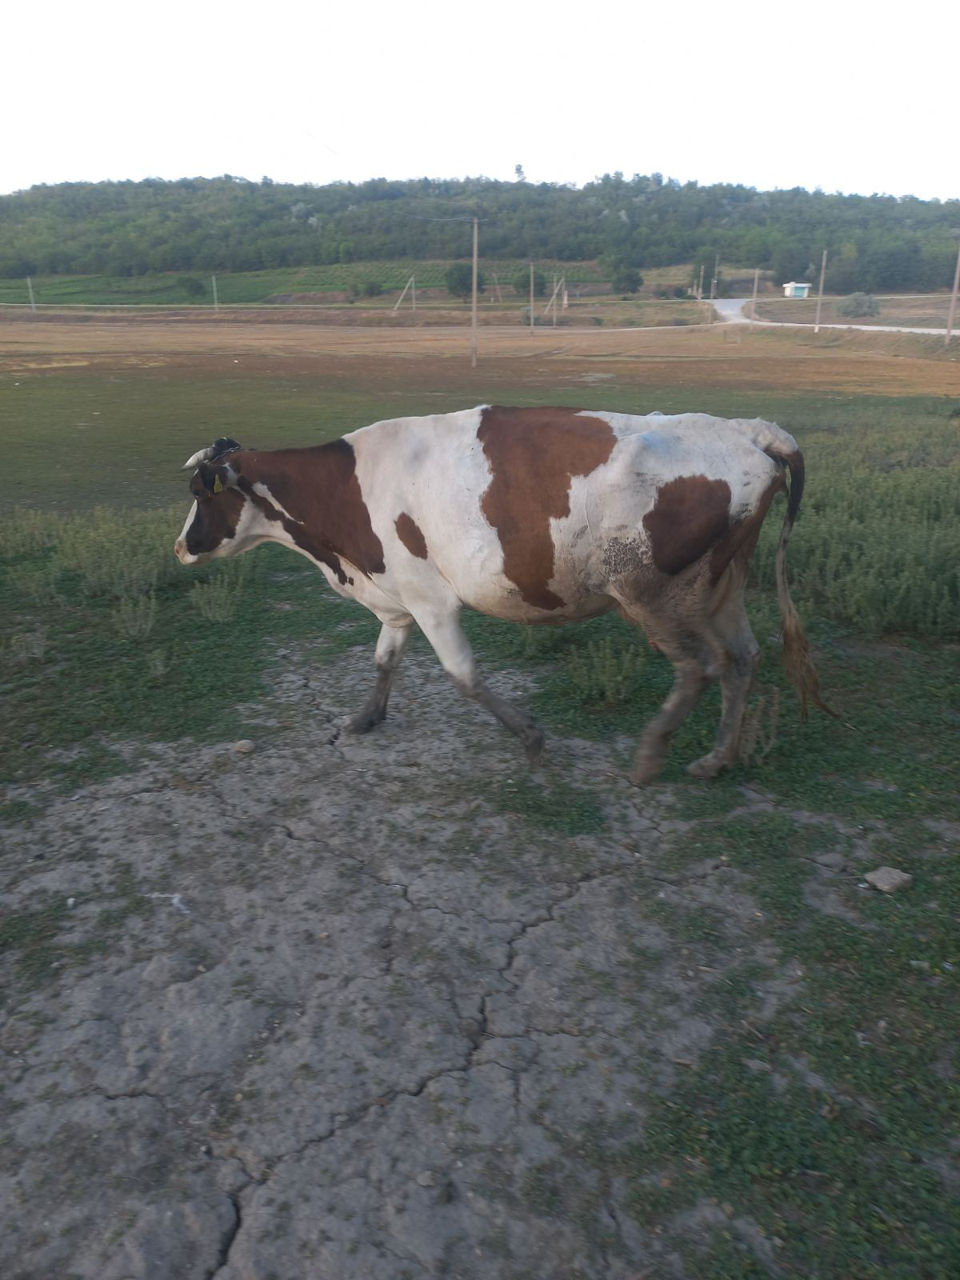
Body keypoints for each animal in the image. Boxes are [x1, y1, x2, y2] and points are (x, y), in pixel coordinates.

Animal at [174, 406, 829, 782]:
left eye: (202, 494)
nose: (181, 546)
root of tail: (751, 432)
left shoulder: (432, 601)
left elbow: (463, 677)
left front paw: (531, 738)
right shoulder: (398, 594)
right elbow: (384, 659)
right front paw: (365, 718)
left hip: (652, 594)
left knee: (700, 666)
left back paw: (649, 757)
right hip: (721, 585)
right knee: (742, 660)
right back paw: (717, 758)